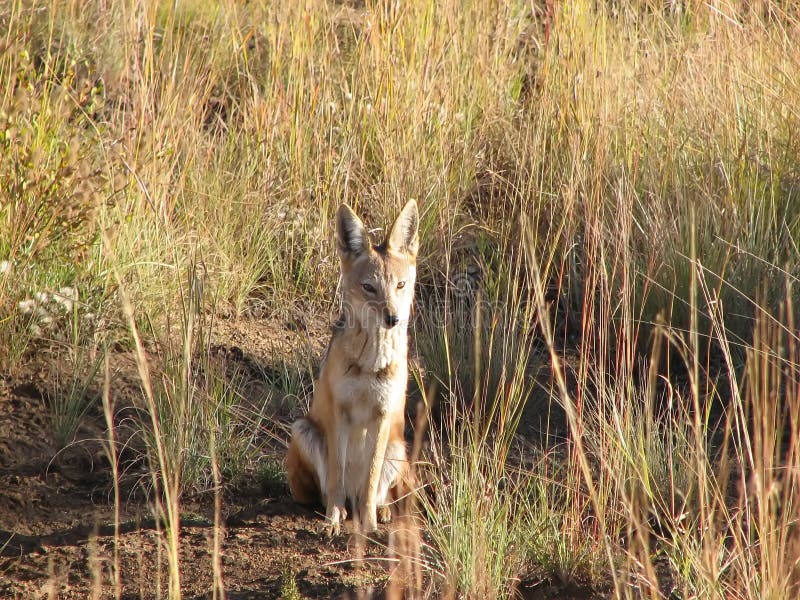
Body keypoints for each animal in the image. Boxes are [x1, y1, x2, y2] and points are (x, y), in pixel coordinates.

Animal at [286, 199, 419, 535]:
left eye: (400, 285)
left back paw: (379, 512)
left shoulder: (382, 413)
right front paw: (332, 521)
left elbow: (370, 482)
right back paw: (342, 511)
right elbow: (336, 478)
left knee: (373, 493)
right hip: (303, 429)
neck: (370, 364)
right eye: (369, 287)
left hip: (397, 448)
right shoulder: (339, 413)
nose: (392, 318)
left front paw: (369, 525)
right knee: (334, 491)